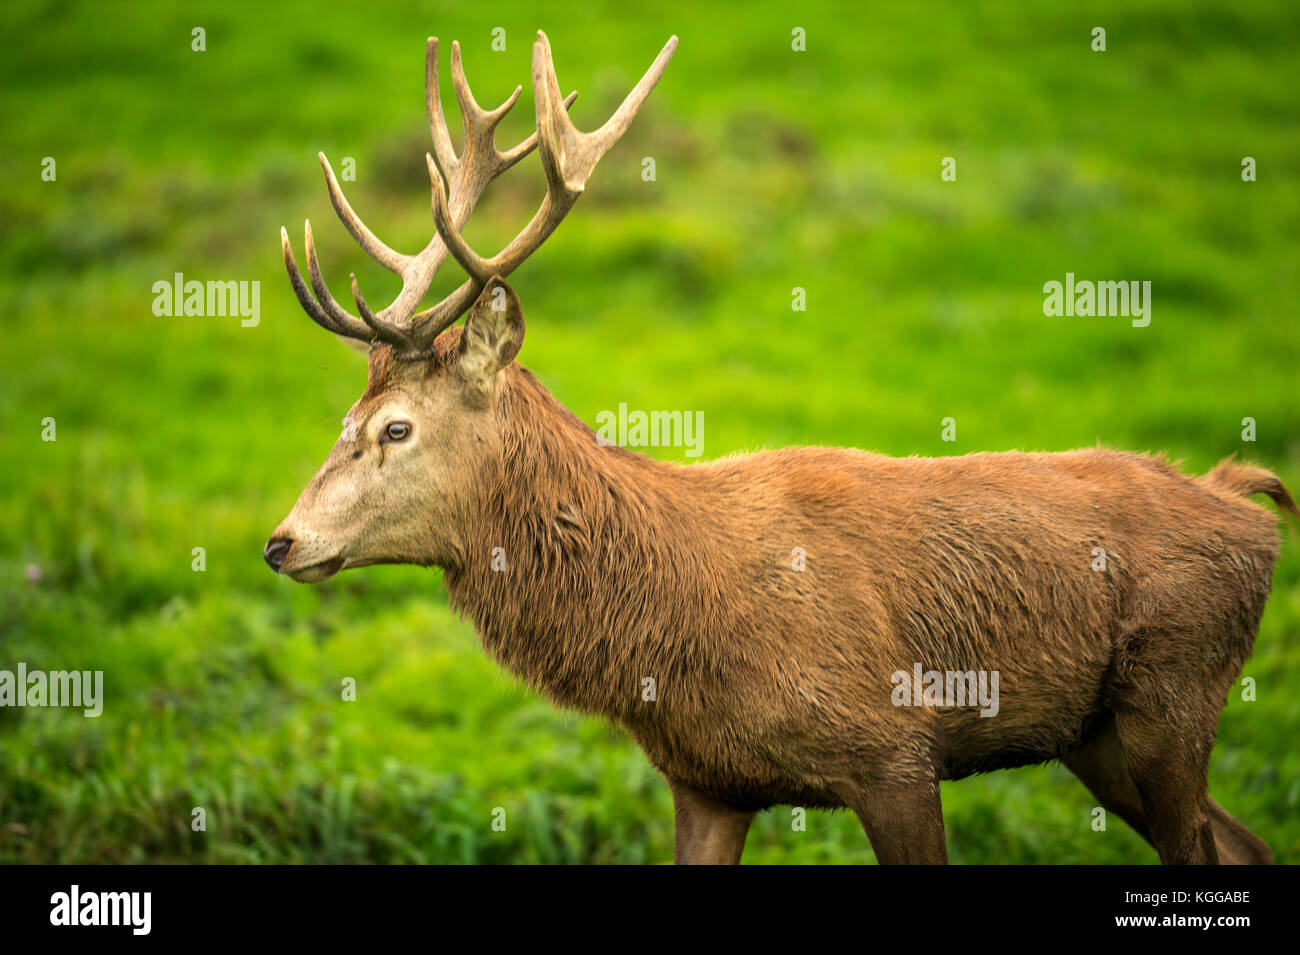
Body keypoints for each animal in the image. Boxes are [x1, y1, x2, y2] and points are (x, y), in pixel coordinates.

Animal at [266, 31, 1295, 865]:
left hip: (1177, 688)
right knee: (1240, 843)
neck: (685, 626)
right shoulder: (705, 781)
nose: (281, 541)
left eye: (396, 427)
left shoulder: (894, 750)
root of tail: (1249, 507)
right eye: (342, 422)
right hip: (1098, 735)